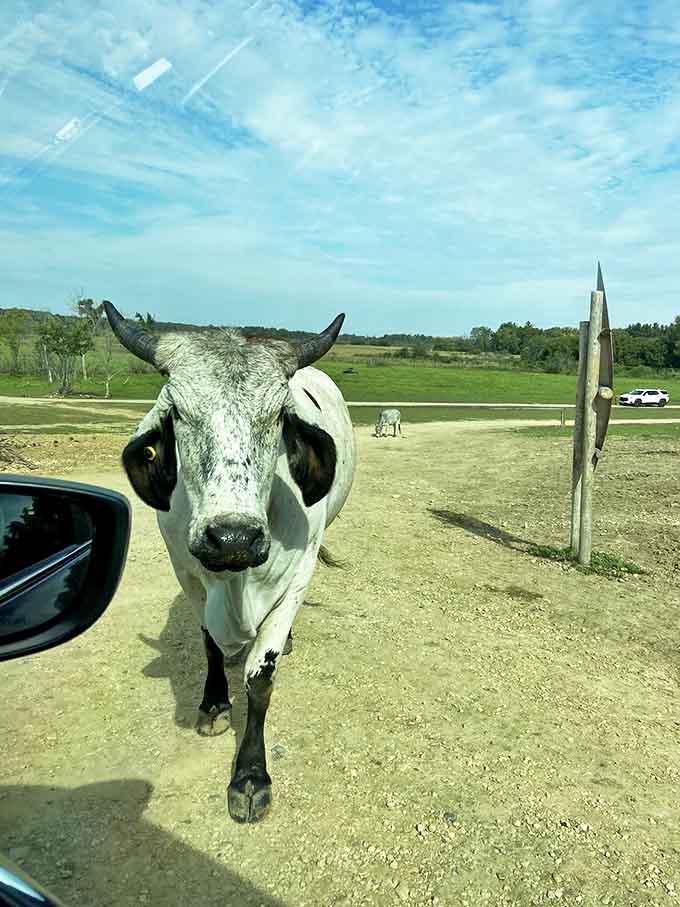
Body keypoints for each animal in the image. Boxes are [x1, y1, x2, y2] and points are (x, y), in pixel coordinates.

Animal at [103, 301, 357, 824]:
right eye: (177, 411)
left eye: (279, 415)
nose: (232, 538)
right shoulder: (188, 574)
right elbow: (210, 645)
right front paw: (215, 705)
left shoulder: (297, 580)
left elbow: (260, 677)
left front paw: (250, 776)